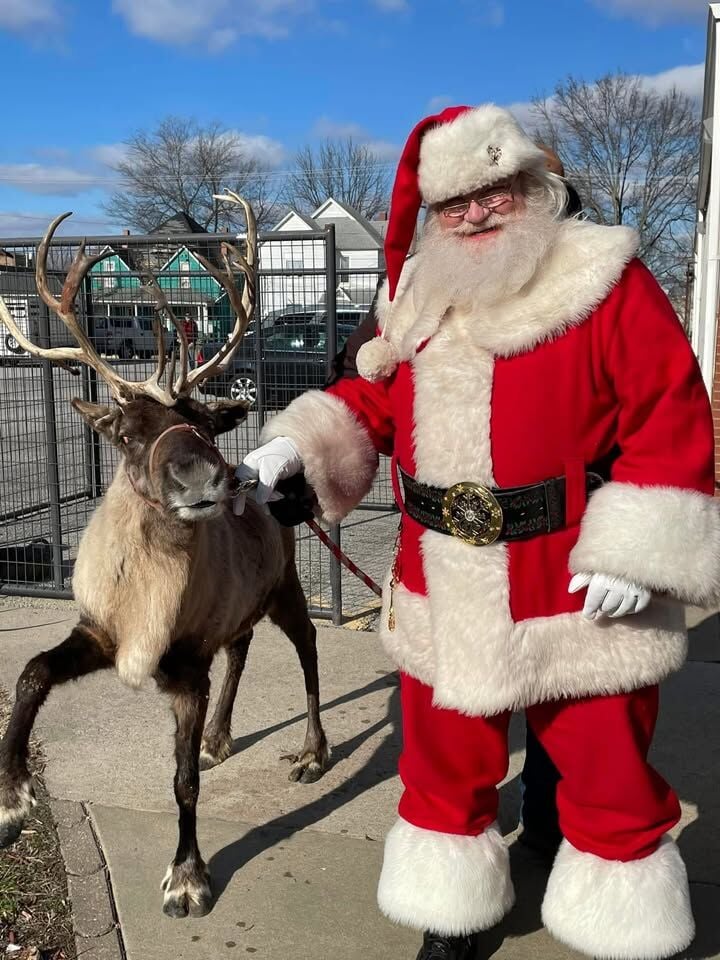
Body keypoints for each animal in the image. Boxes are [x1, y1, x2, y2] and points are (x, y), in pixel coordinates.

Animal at [0, 193, 329, 919]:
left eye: (200, 422)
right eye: (124, 432)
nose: (216, 481)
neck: (147, 603)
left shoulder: (186, 666)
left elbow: (180, 782)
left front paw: (187, 878)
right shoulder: (99, 631)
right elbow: (31, 673)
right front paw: (12, 802)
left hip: (286, 585)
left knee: (308, 652)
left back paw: (311, 752)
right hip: (243, 606)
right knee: (242, 647)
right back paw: (219, 737)